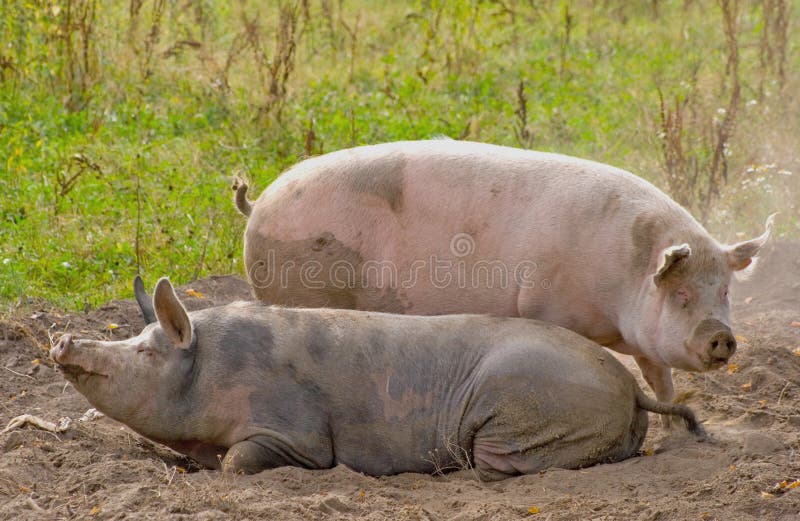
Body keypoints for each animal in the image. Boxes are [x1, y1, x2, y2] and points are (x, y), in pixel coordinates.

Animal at [50, 277, 702, 480]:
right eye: (132, 339)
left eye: (146, 351)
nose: (64, 340)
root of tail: (631, 389)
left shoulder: (298, 434)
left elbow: (240, 462)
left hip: (519, 416)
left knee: (492, 463)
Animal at [234, 140, 774, 404]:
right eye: (681, 296)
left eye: (724, 292)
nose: (722, 336)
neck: (624, 280)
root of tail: (259, 203)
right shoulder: (547, 306)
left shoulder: (642, 337)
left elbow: (660, 378)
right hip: (301, 288)